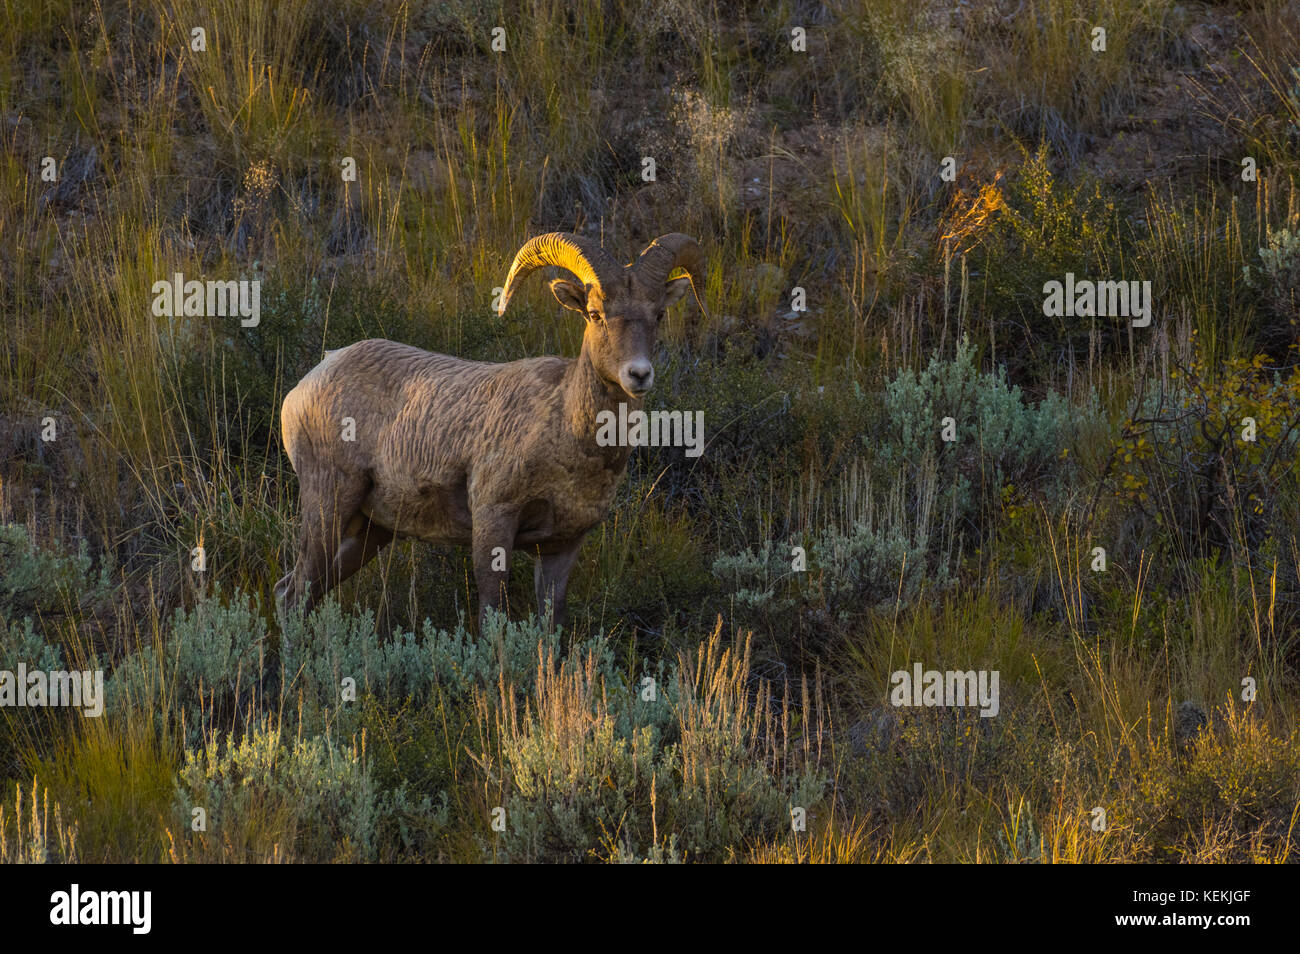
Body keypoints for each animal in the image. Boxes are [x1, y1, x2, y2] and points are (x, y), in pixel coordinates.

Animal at [274, 231, 705, 632]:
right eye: (596, 314)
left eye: (658, 315)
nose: (638, 374)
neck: (568, 433)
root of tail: (309, 381)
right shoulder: (494, 522)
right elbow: (492, 619)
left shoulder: (562, 547)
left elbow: (550, 625)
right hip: (329, 501)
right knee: (295, 594)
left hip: (368, 532)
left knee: (292, 591)